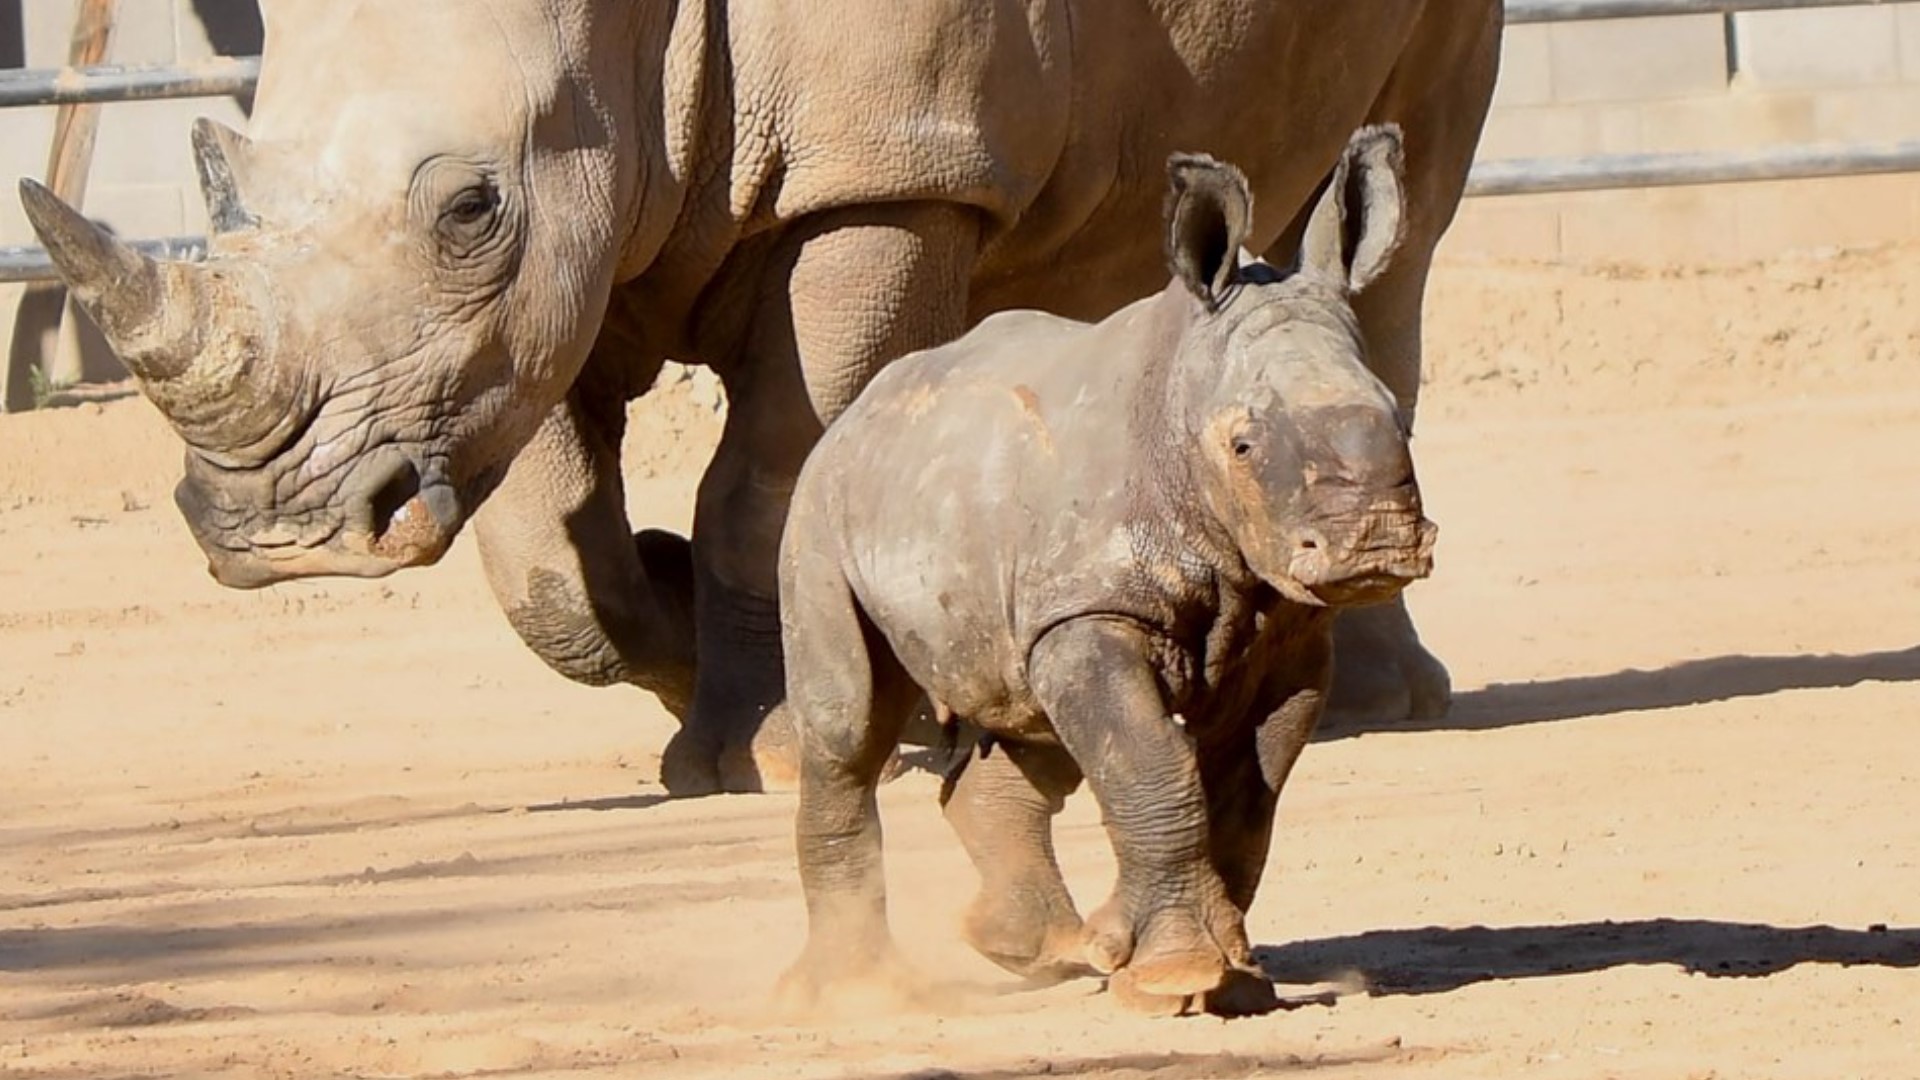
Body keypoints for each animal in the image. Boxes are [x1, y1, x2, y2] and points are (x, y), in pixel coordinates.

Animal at [18, 1, 1500, 796]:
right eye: (217, 179)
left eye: (468, 208)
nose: (277, 539)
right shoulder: (543, 286)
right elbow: (549, 558)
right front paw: (692, 665)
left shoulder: (886, 177)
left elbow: (772, 479)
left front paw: (777, 747)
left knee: (1401, 217)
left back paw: (1382, 707)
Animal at [779, 131, 1435, 1015]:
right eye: (1243, 447)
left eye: (1403, 421)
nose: (1376, 545)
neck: (1182, 404)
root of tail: (861, 409)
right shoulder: (1092, 610)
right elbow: (1152, 766)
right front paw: (1176, 980)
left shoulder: (1288, 637)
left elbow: (1244, 793)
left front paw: (1227, 978)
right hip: (820, 505)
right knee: (849, 723)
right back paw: (851, 990)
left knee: (1027, 715)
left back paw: (1040, 950)